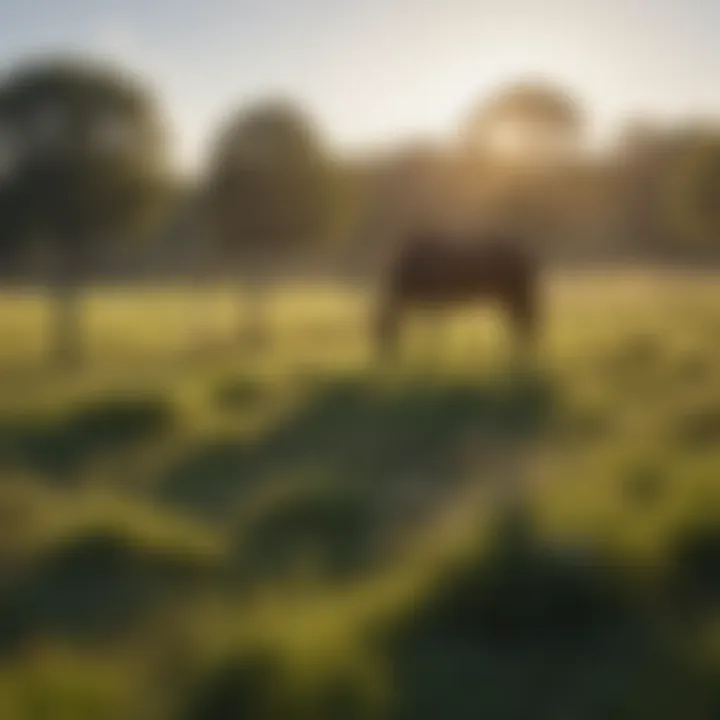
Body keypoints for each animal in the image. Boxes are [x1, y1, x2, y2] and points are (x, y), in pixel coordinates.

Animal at [376, 231, 540, 360]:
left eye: (381, 333)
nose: (386, 357)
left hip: (513, 294)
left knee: (524, 319)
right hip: (509, 295)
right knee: (520, 320)